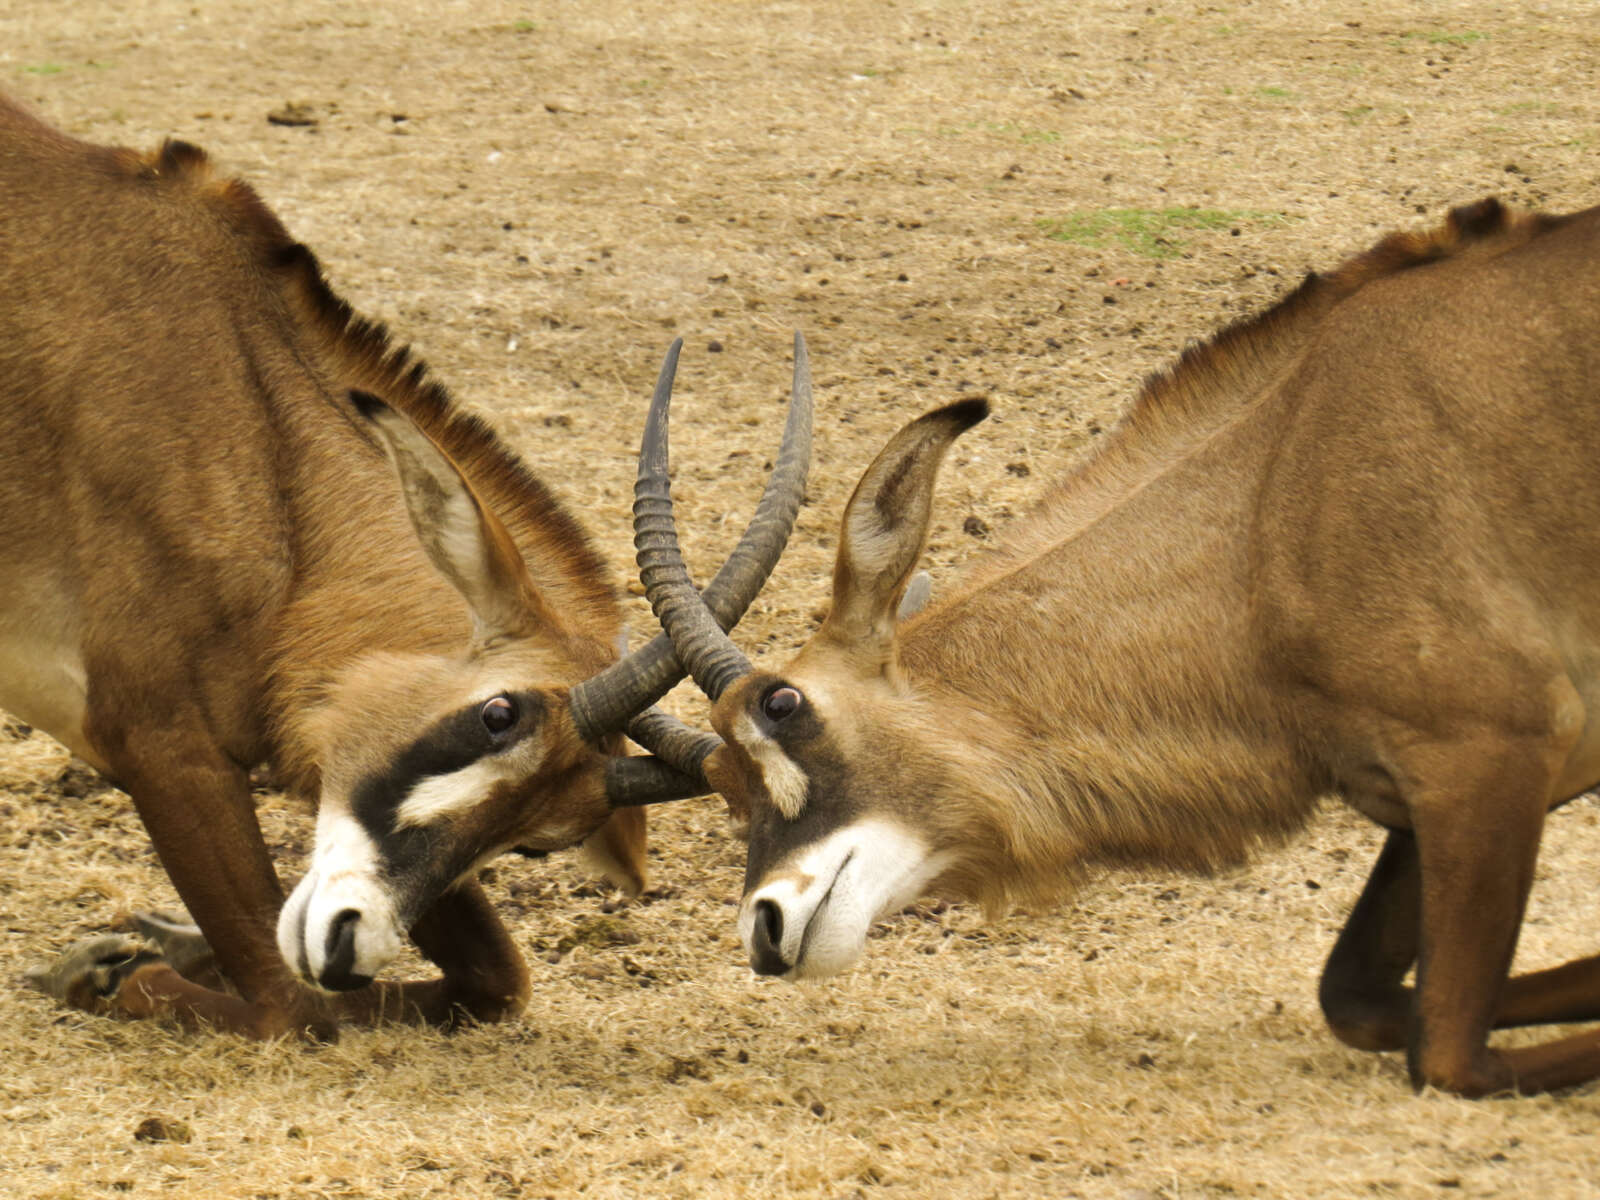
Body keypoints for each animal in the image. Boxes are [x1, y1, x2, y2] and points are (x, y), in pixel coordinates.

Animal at [1, 94, 808, 1038]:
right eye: (497, 715)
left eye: (539, 840)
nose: (346, 945)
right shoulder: (160, 746)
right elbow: (292, 1007)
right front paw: (97, 971)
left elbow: (497, 979)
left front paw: (141, 944)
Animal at [636, 198, 1600, 1097]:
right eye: (723, 781)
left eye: (784, 704)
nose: (765, 931)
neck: (1270, 504)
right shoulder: (1420, 795)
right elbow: (1355, 998)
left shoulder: (1489, 758)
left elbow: (1445, 1054)